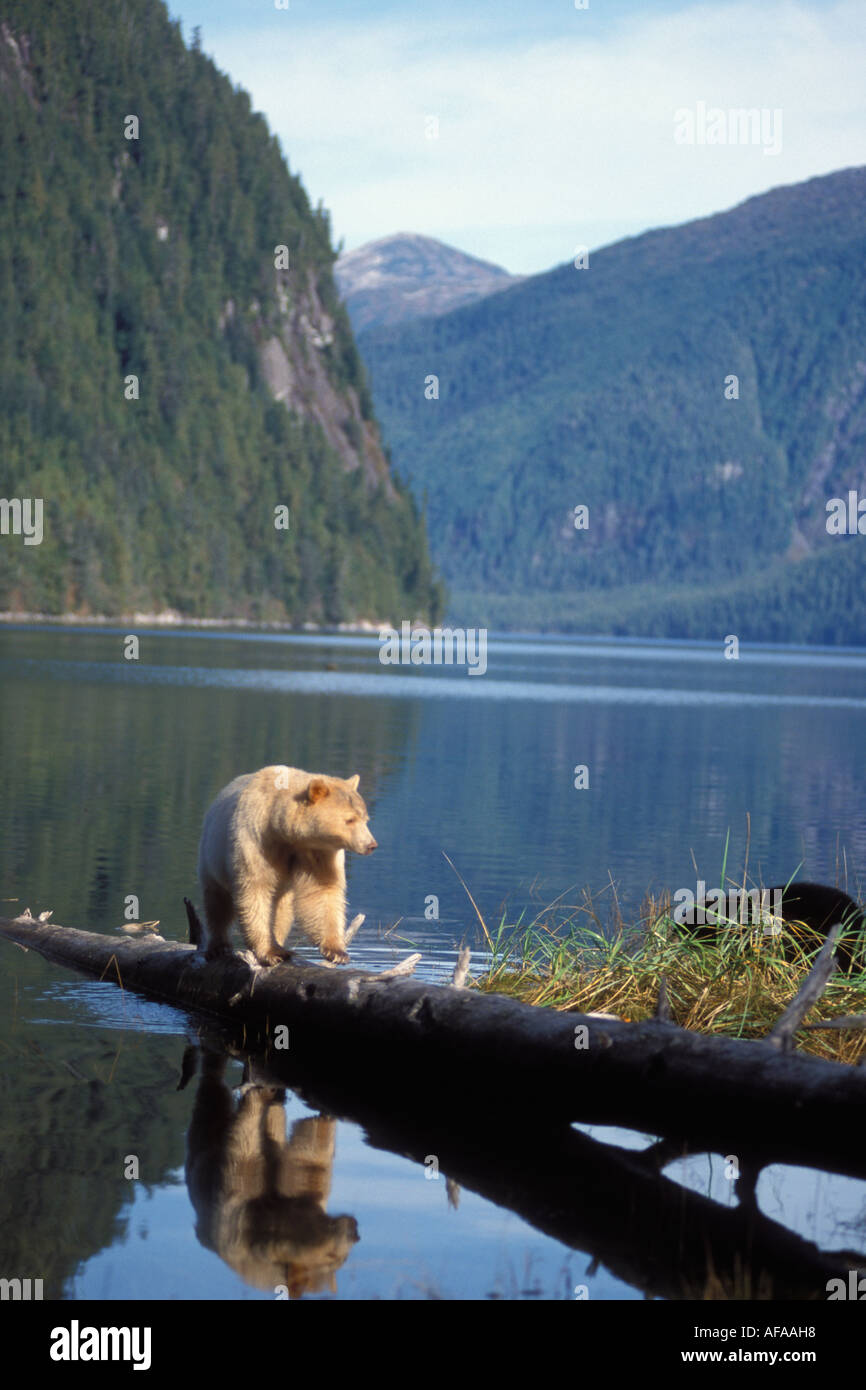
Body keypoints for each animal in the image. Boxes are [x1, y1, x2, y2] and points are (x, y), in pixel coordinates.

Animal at [196, 764, 377, 967]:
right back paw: (219, 946)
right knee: (217, 902)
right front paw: (269, 952)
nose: (371, 845)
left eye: (365, 819)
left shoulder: (318, 851)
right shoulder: (256, 840)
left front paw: (336, 951)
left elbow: (322, 890)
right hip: (211, 855)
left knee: (282, 910)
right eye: (350, 819)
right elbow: (256, 889)